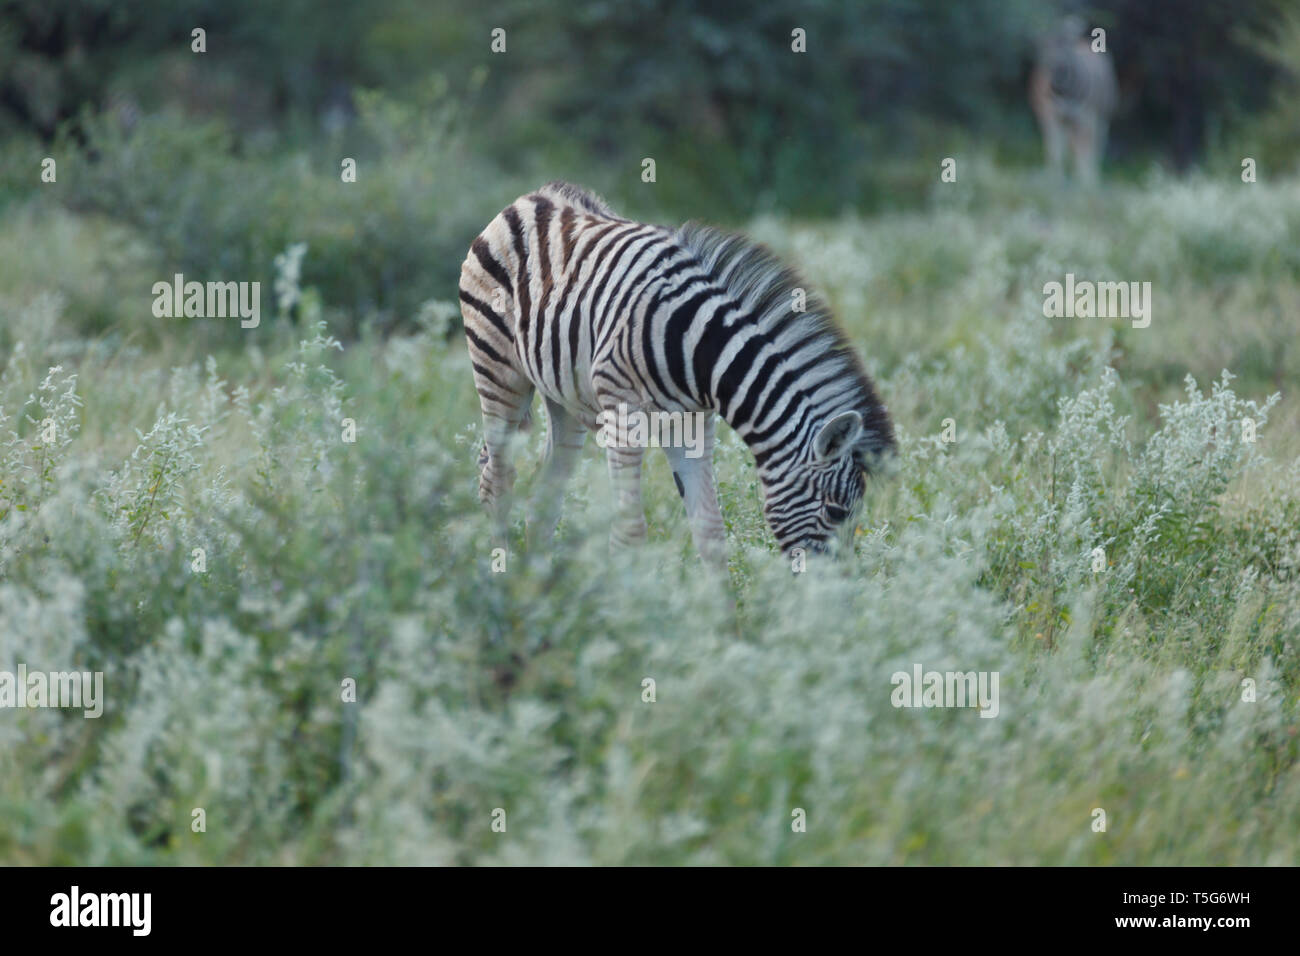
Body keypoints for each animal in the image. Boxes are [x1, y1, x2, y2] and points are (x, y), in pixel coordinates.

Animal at [458, 181, 895, 568]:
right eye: (836, 512)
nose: (836, 591)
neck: (700, 351)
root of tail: (533, 197)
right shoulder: (623, 417)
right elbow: (630, 531)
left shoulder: (692, 424)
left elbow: (710, 531)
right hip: (496, 368)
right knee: (497, 479)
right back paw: (503, 580)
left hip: (564, 398)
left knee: (545, 493)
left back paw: (537, 583)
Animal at [1029, 15, 1117, 185]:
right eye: (1043, 45)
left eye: (1064, 43)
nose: (1053, 62)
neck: (1065, 93)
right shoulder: (1052, 114)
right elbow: (1055, 147)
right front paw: (1054, 177)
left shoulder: (1085, 117)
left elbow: (1084, 149)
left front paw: (1086, 181)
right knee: (1070, 144)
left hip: (1101, 116)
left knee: (1096, 143)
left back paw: (1091, 176)